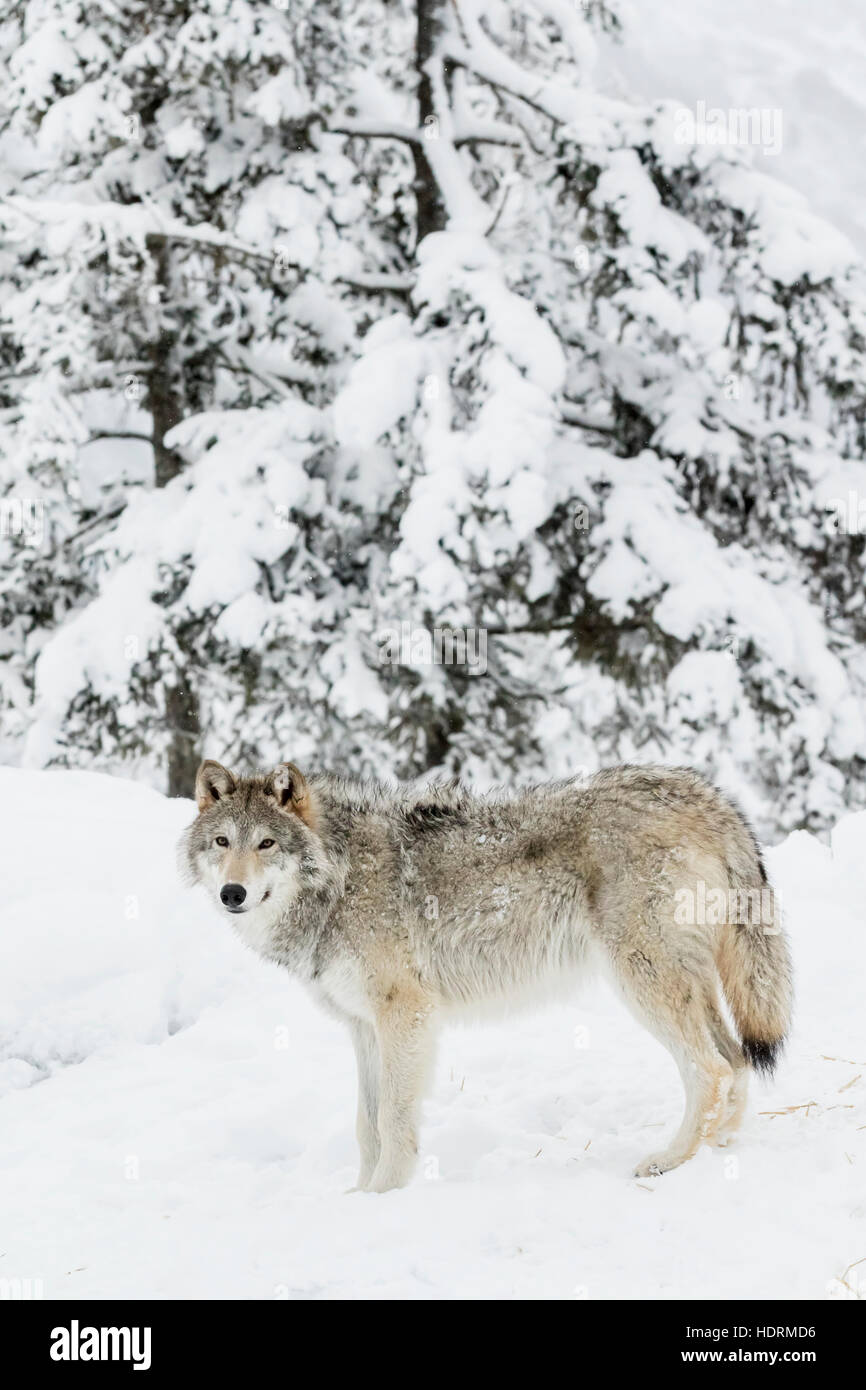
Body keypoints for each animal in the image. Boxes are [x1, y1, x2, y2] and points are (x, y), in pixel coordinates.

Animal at [179, 760, 792, 1192]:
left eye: (267, 843)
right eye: (222, 842)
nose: (232, 893)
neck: (339, 876)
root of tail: (706, 793)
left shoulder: (406, 1015)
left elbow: (394, 1122)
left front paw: (383, 1197)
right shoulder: (363, 1027)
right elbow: (366, 1125)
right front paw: (357, 1196)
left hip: (642, 980)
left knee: (711, 1069)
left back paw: (667, 1163)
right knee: (737, 1060)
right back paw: (716, 1151)